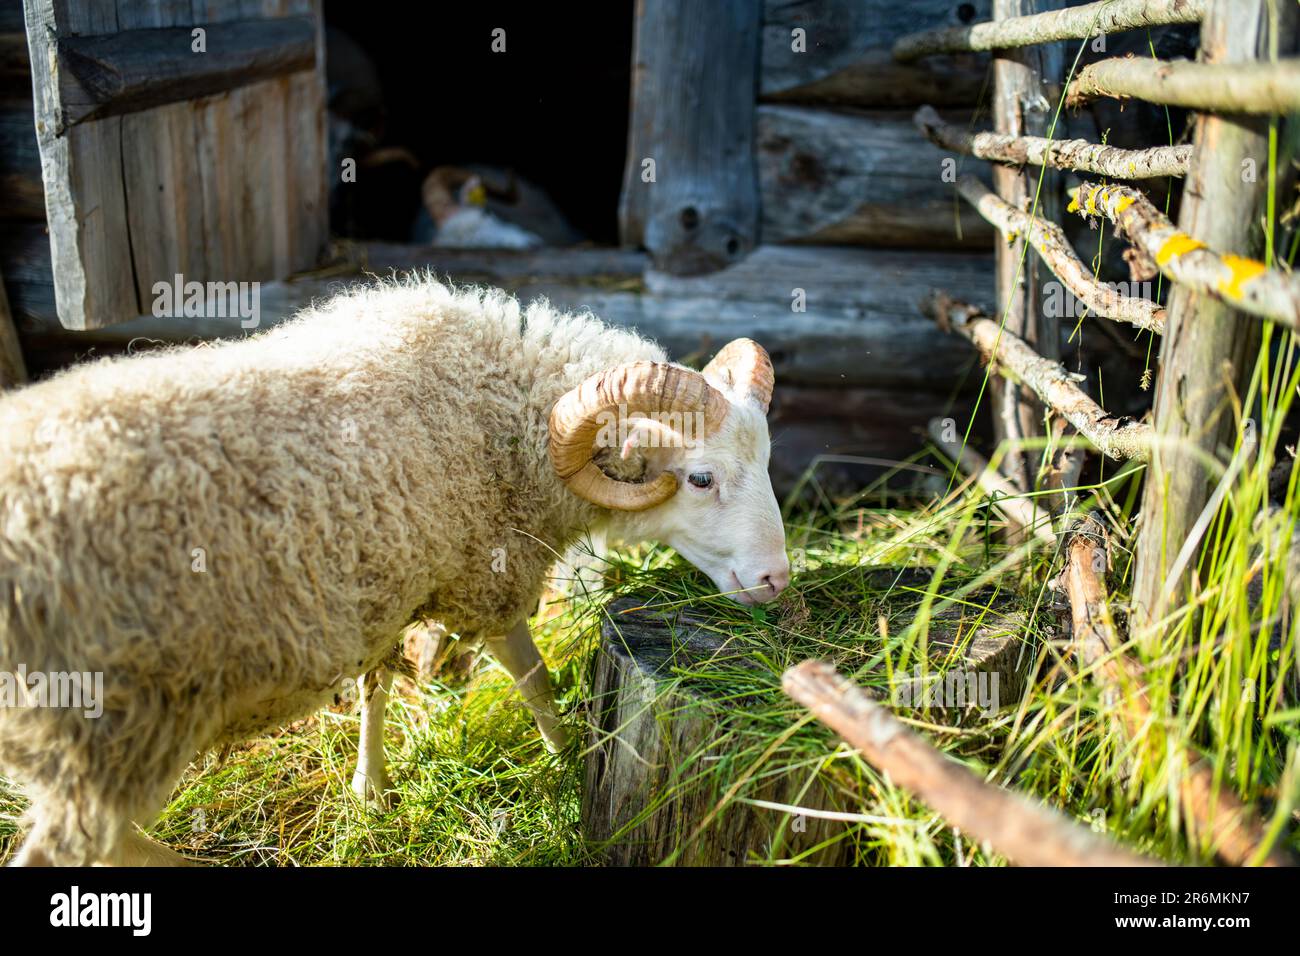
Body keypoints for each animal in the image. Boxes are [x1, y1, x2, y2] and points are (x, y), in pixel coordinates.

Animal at [0, 275, 790, 866]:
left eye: (768, 461)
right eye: (699, 478)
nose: (778, 580)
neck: (502, 405)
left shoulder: (384, 580)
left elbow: (374, 685)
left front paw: (371, 787)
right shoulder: (484, 580)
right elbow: (534, 681)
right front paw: (568, 763)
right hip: (106, 725)